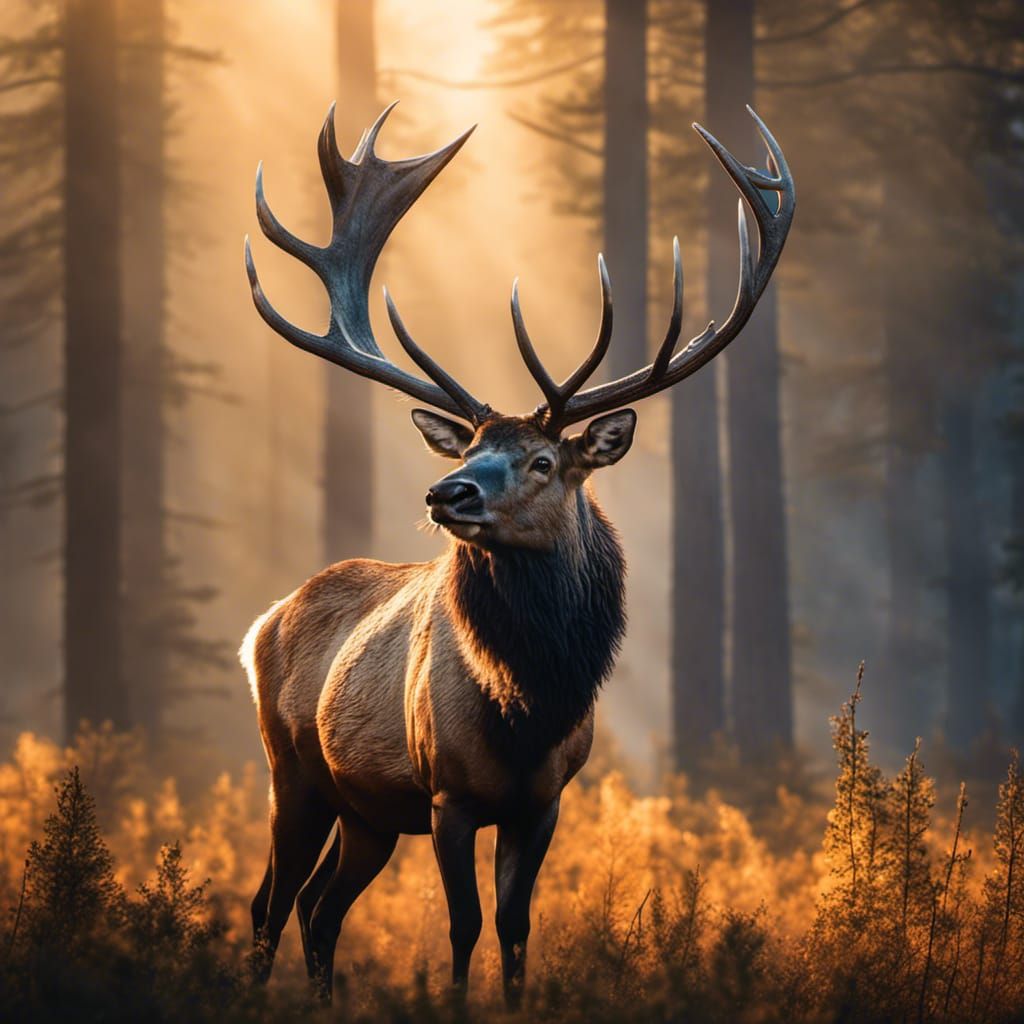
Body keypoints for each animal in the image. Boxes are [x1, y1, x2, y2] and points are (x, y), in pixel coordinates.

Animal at [240, 100, 793, 1007]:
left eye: (541, 461)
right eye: (465, 450)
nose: (447, 493)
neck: (528, 708)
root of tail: (262, 624)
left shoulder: (545, 801)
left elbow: (515, 928)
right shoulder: (447, 794)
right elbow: (464, 927)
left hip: (366, 811)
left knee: (320, 911)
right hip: (293, 770)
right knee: (269, 905)